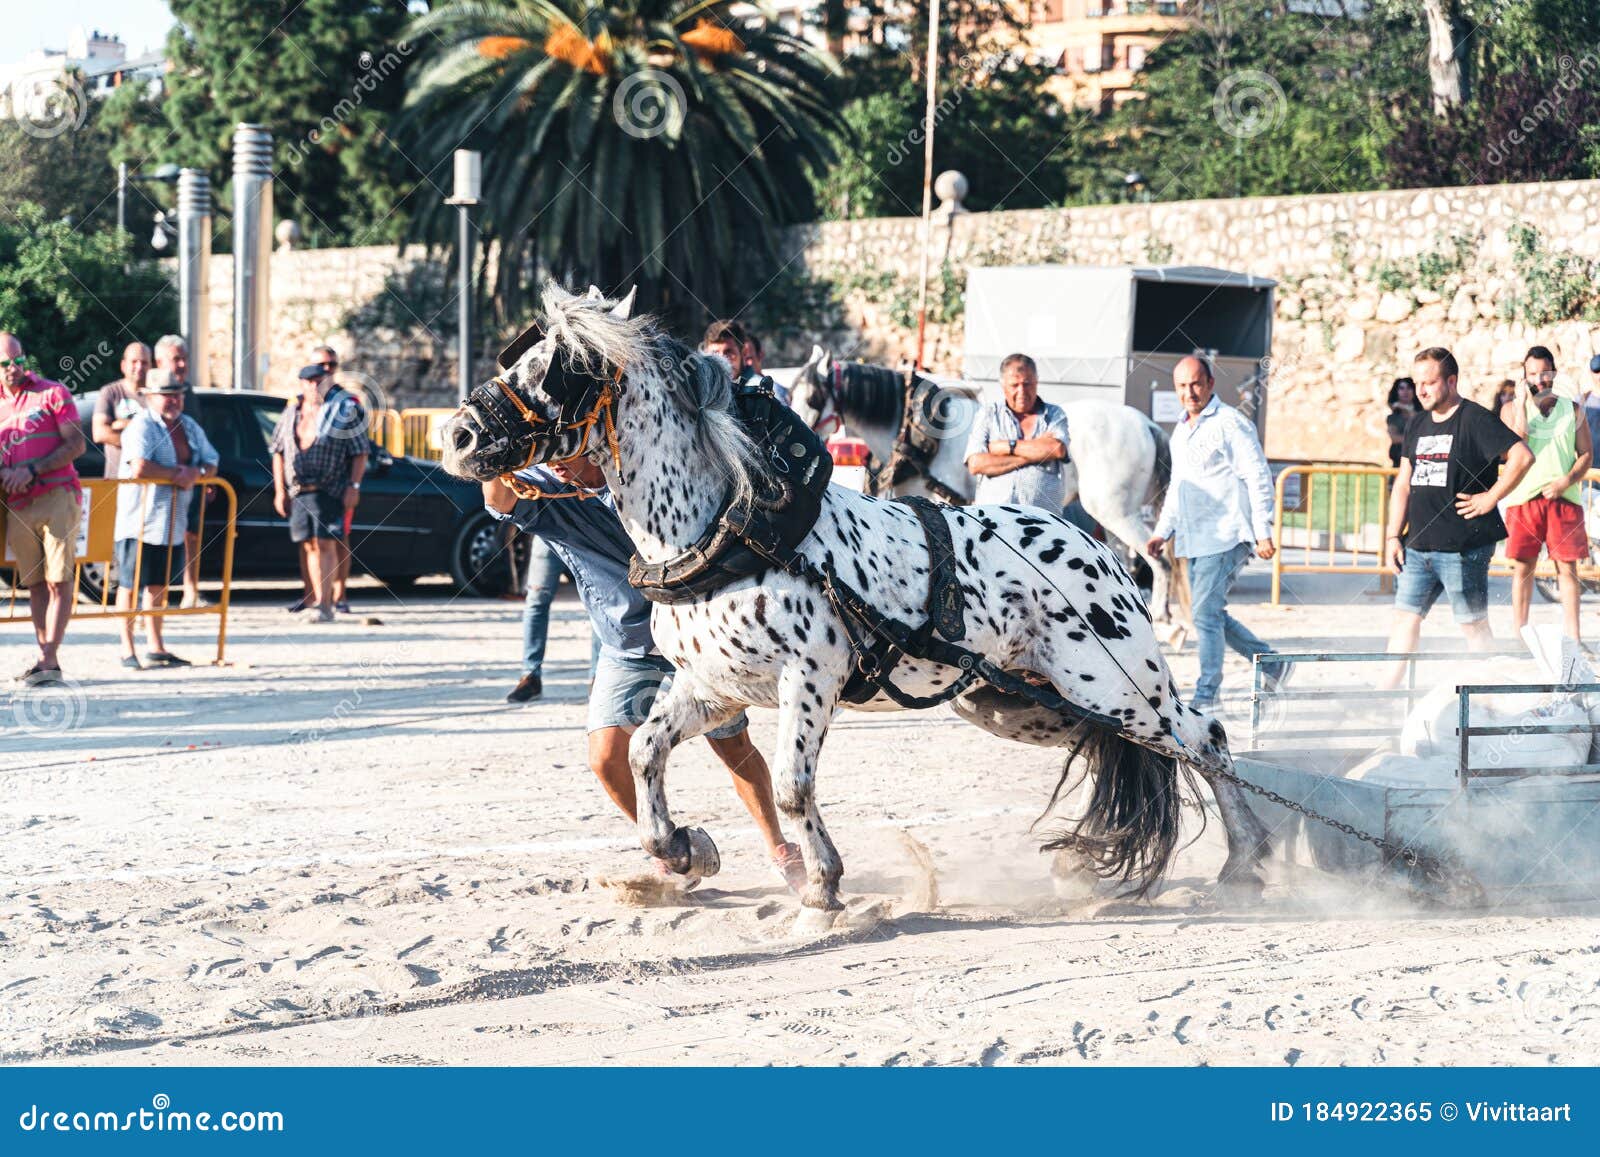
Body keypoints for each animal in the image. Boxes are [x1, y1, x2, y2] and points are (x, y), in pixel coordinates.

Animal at [787, 346, 1182, 626]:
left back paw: (1160, 614)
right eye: (789, 393)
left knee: (1157, 559)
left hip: (1114, 511)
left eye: (812, 397)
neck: (917, 427)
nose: (795, 434)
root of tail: (1147, 424)